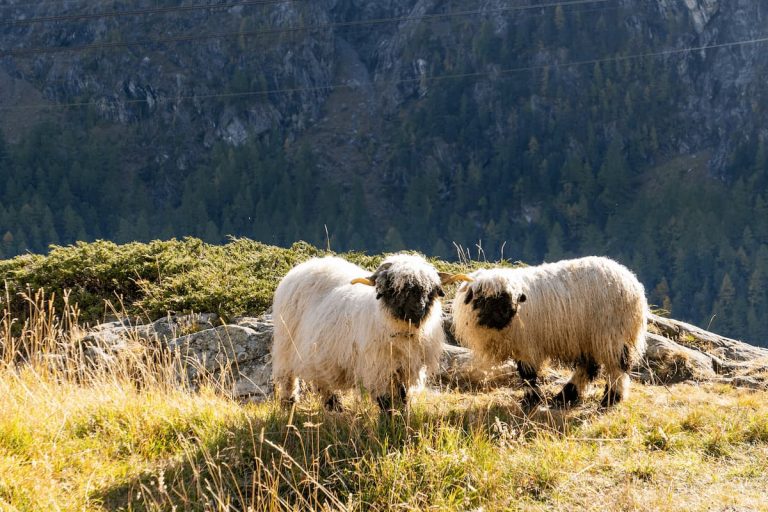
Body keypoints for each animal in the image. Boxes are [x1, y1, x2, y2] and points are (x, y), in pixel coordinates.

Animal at [271, 254, 472, 412]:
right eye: (393, 289)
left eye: (430, 291)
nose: (417, 310)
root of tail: (305, 265)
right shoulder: (378, 368)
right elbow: (385, 401)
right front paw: (389, 423)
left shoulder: (405, 368)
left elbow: (403, 397)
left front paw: (402, 416)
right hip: (285, 344)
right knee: (288, 378)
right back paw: (289, 404)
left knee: (321, 381)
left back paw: (334, 407)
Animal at [452, 256, 647, 409]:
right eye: (484, 299)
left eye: (509, 298)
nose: (507, 313)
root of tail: (632, 282)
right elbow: (527, 375)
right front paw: (533, 398)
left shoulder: (527, 345)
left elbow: (528, 375)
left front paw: (532, 399)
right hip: (588, 336)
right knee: (589, 367)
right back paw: (566, 396)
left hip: (611, 334)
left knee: (617, 367)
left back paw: (611, 398)